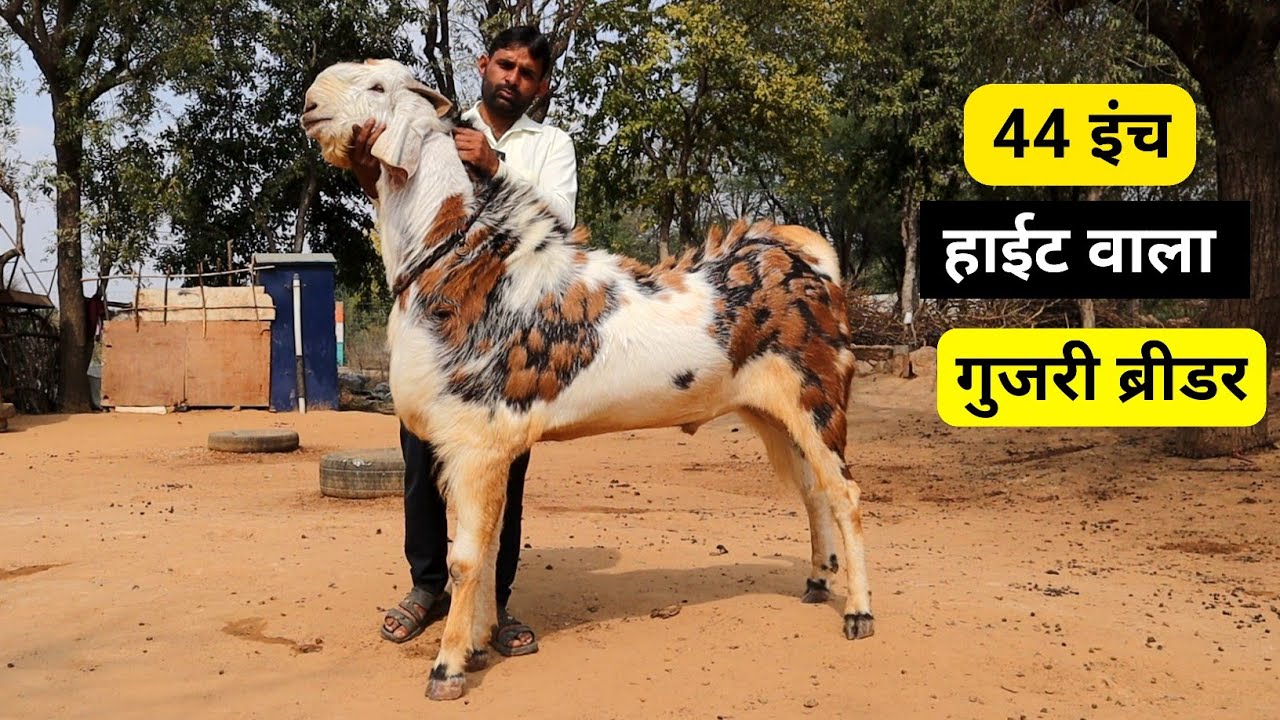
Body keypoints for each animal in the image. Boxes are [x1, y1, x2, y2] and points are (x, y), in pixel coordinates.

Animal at [301, 58, 873, 701]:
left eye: (377, 87)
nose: (309, 103)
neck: (458, 262)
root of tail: (813, 265)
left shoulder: (475, 442)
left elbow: (467, 558)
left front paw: (448, 667)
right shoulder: (490, 448)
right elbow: (490, 546)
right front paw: (480, 642)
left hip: (818, 398)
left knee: (845, 494)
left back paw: (858, 612)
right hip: (770, 412)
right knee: (812, 490)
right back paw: (818, 582)